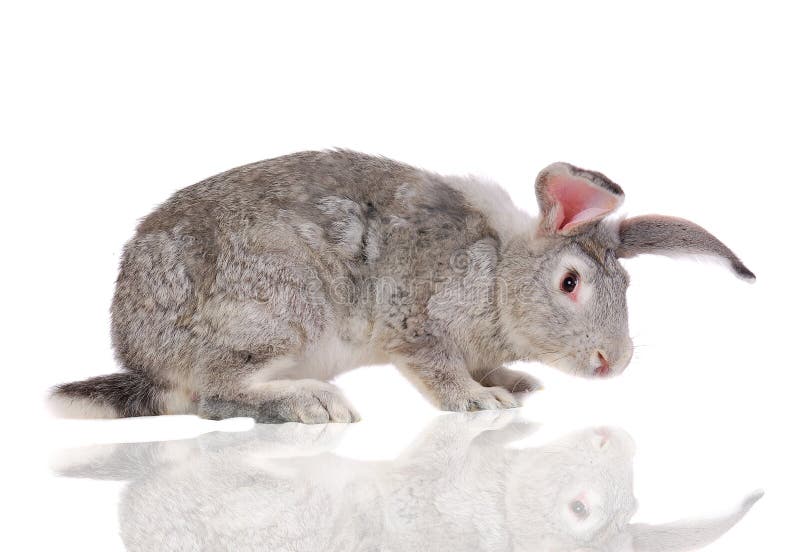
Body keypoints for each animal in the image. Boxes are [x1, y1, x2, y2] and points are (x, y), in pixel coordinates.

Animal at [49, 150, 755, 423]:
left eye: (627, 283)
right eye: (570, 282)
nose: (614, 361)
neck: (498, 273)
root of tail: (148, 366)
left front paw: (514, 384)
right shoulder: (417, 327)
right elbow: (439, 370)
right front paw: (483, 401)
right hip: (280, 308)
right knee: (216, 393)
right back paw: (312, 404)